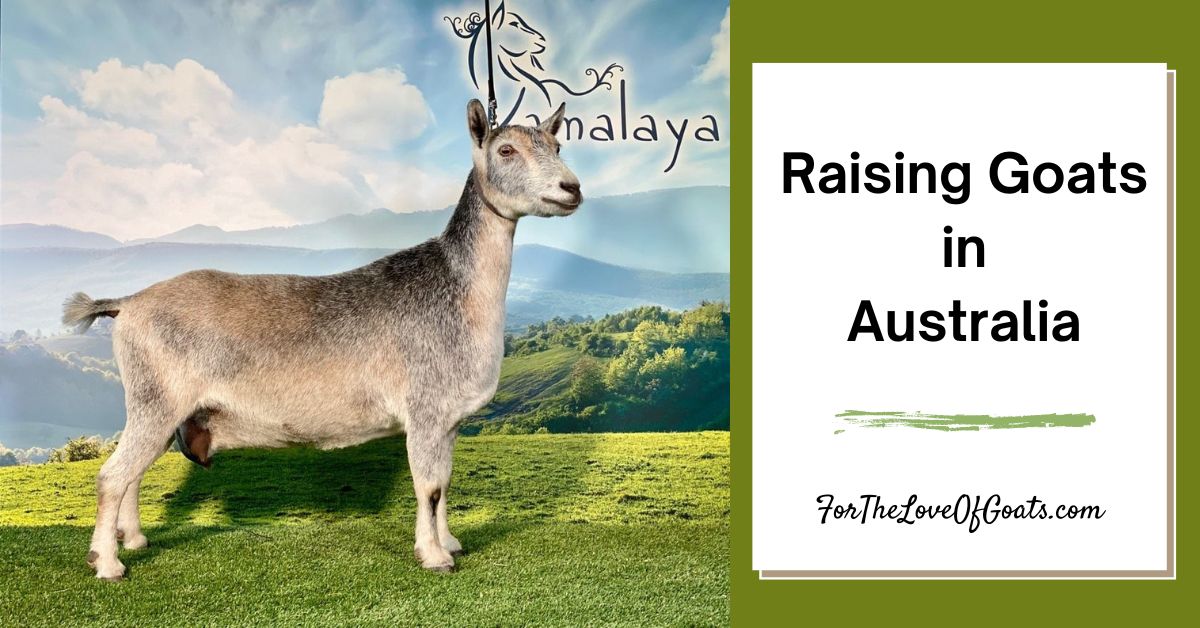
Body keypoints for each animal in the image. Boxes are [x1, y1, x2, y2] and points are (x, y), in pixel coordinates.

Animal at [62, 99, 582, 580]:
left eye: (557, 146)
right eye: (506, 150)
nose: (571, 188)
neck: (457, 289)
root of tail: (128, 303)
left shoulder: (448, 422)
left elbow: (445, 484)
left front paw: (450, 542)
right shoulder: (425, 411)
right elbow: (429, 488)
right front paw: (434, 557)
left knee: (133, 474)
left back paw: (135, 539)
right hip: (157, 399)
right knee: (112, 476)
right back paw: (107, 563)